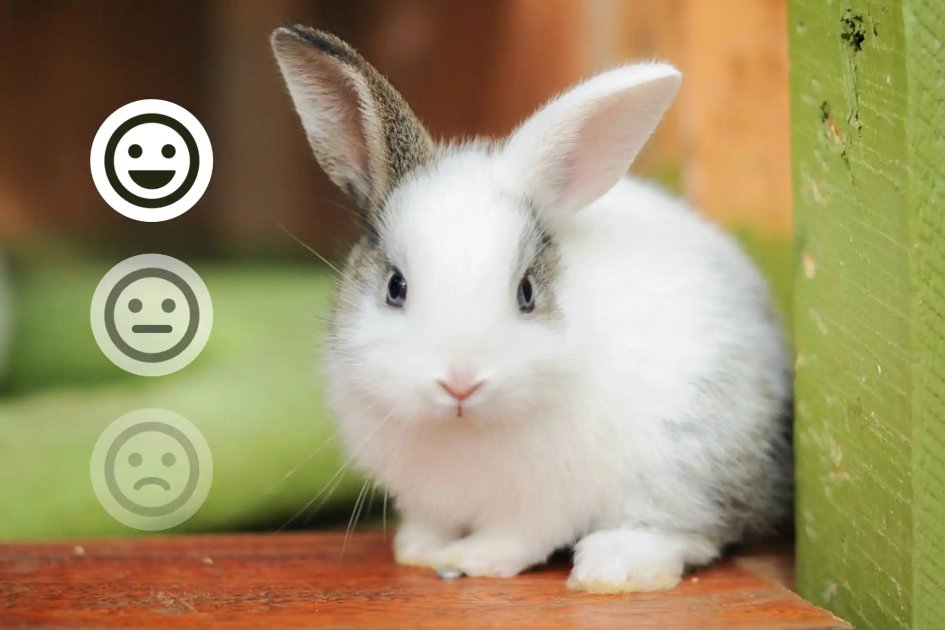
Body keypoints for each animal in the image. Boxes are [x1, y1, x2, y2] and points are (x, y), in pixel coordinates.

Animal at [271, 25, 792, 592]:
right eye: (395, 287)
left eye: (526, 293)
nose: (460, 383)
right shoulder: (427, 498)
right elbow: (432, 523)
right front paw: (417, 551)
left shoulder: (544, 503)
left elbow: (519, 537)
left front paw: (471, 559)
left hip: (688, 461)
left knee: (689, 529)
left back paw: (613, 567)